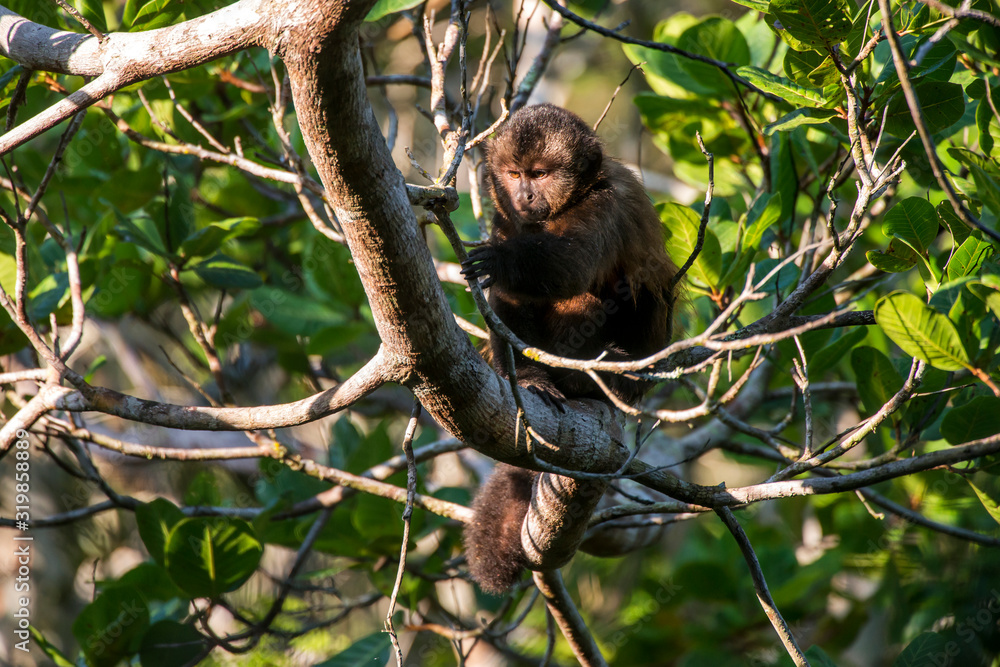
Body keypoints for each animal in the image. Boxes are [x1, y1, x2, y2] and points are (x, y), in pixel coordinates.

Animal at [460, 104, 679, 595]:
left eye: (540, 174)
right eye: (514, 173)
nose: (524, 194)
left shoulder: (606, 202)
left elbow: (573, 266)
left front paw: (503, 261)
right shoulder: (505, 215)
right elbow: (511, 295)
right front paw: (527, 379)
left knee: (599, 294)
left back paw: (587, 378)